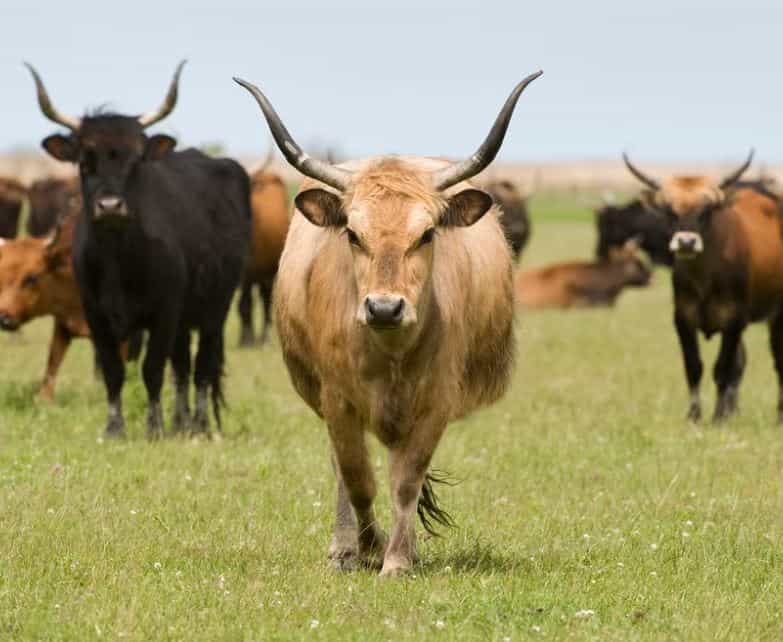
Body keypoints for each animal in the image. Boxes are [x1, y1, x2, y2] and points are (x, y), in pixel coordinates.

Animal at [27, 61, 250, 438]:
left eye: (135, 161)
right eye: (84, 162)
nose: (110, 206)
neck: (117, 256)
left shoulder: (163, 312)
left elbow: (152, 369)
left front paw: (154, 428)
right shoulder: (96, 314)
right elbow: (114, 372)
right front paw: (114, 428)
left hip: (215, 310)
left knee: (202, 369)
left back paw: (199, 426)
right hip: (185, 318)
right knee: (183, 368)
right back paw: (181, 423)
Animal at [237, 162, 290, 346]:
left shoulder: (248, 272)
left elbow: (245, 304)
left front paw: (247, 339)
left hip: (268, 272)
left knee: (266, 300)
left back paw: (264, 338)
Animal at [623, 151, 783, 423]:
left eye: (707, 209)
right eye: (669, 210)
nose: (686, 242)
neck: (704, 281)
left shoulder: (734, 320)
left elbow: (722, 368)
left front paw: (717, 417)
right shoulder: (683, 319)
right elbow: (694, 367)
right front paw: (695, 415)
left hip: (776, 316)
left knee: (777, 361)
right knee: (741, 363)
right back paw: (733, 411)